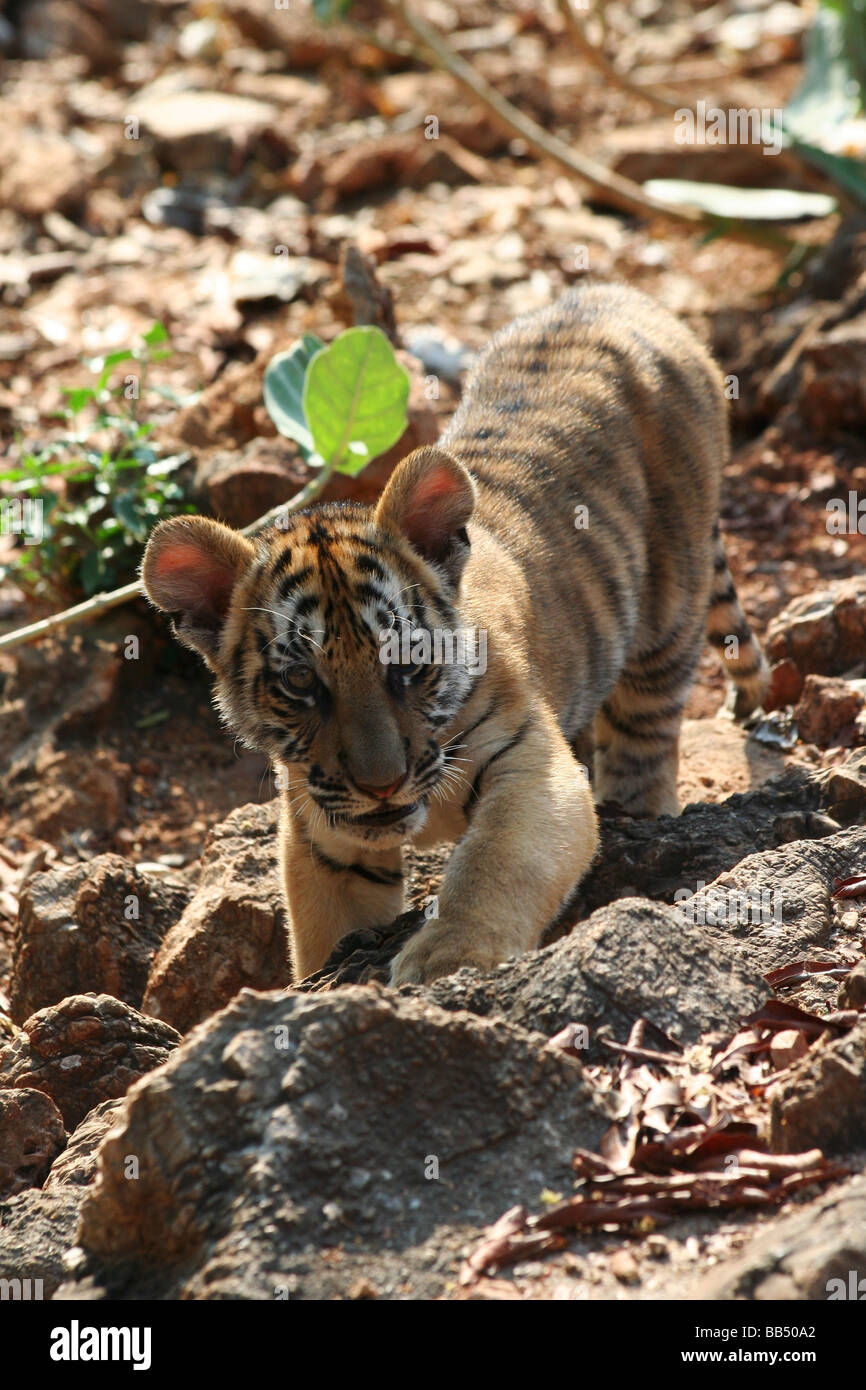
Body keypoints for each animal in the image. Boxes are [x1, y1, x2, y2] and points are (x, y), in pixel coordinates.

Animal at [141, 282, 769, 986]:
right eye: (301, 681)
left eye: (408, 664)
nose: (381, 785)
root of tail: (619, 294)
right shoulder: (321, 828)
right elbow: (321, 929)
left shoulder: (529, 766)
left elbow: (495, 862)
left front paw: (449, 958)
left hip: (670, 611)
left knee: (647, 729)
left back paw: (638, 807)